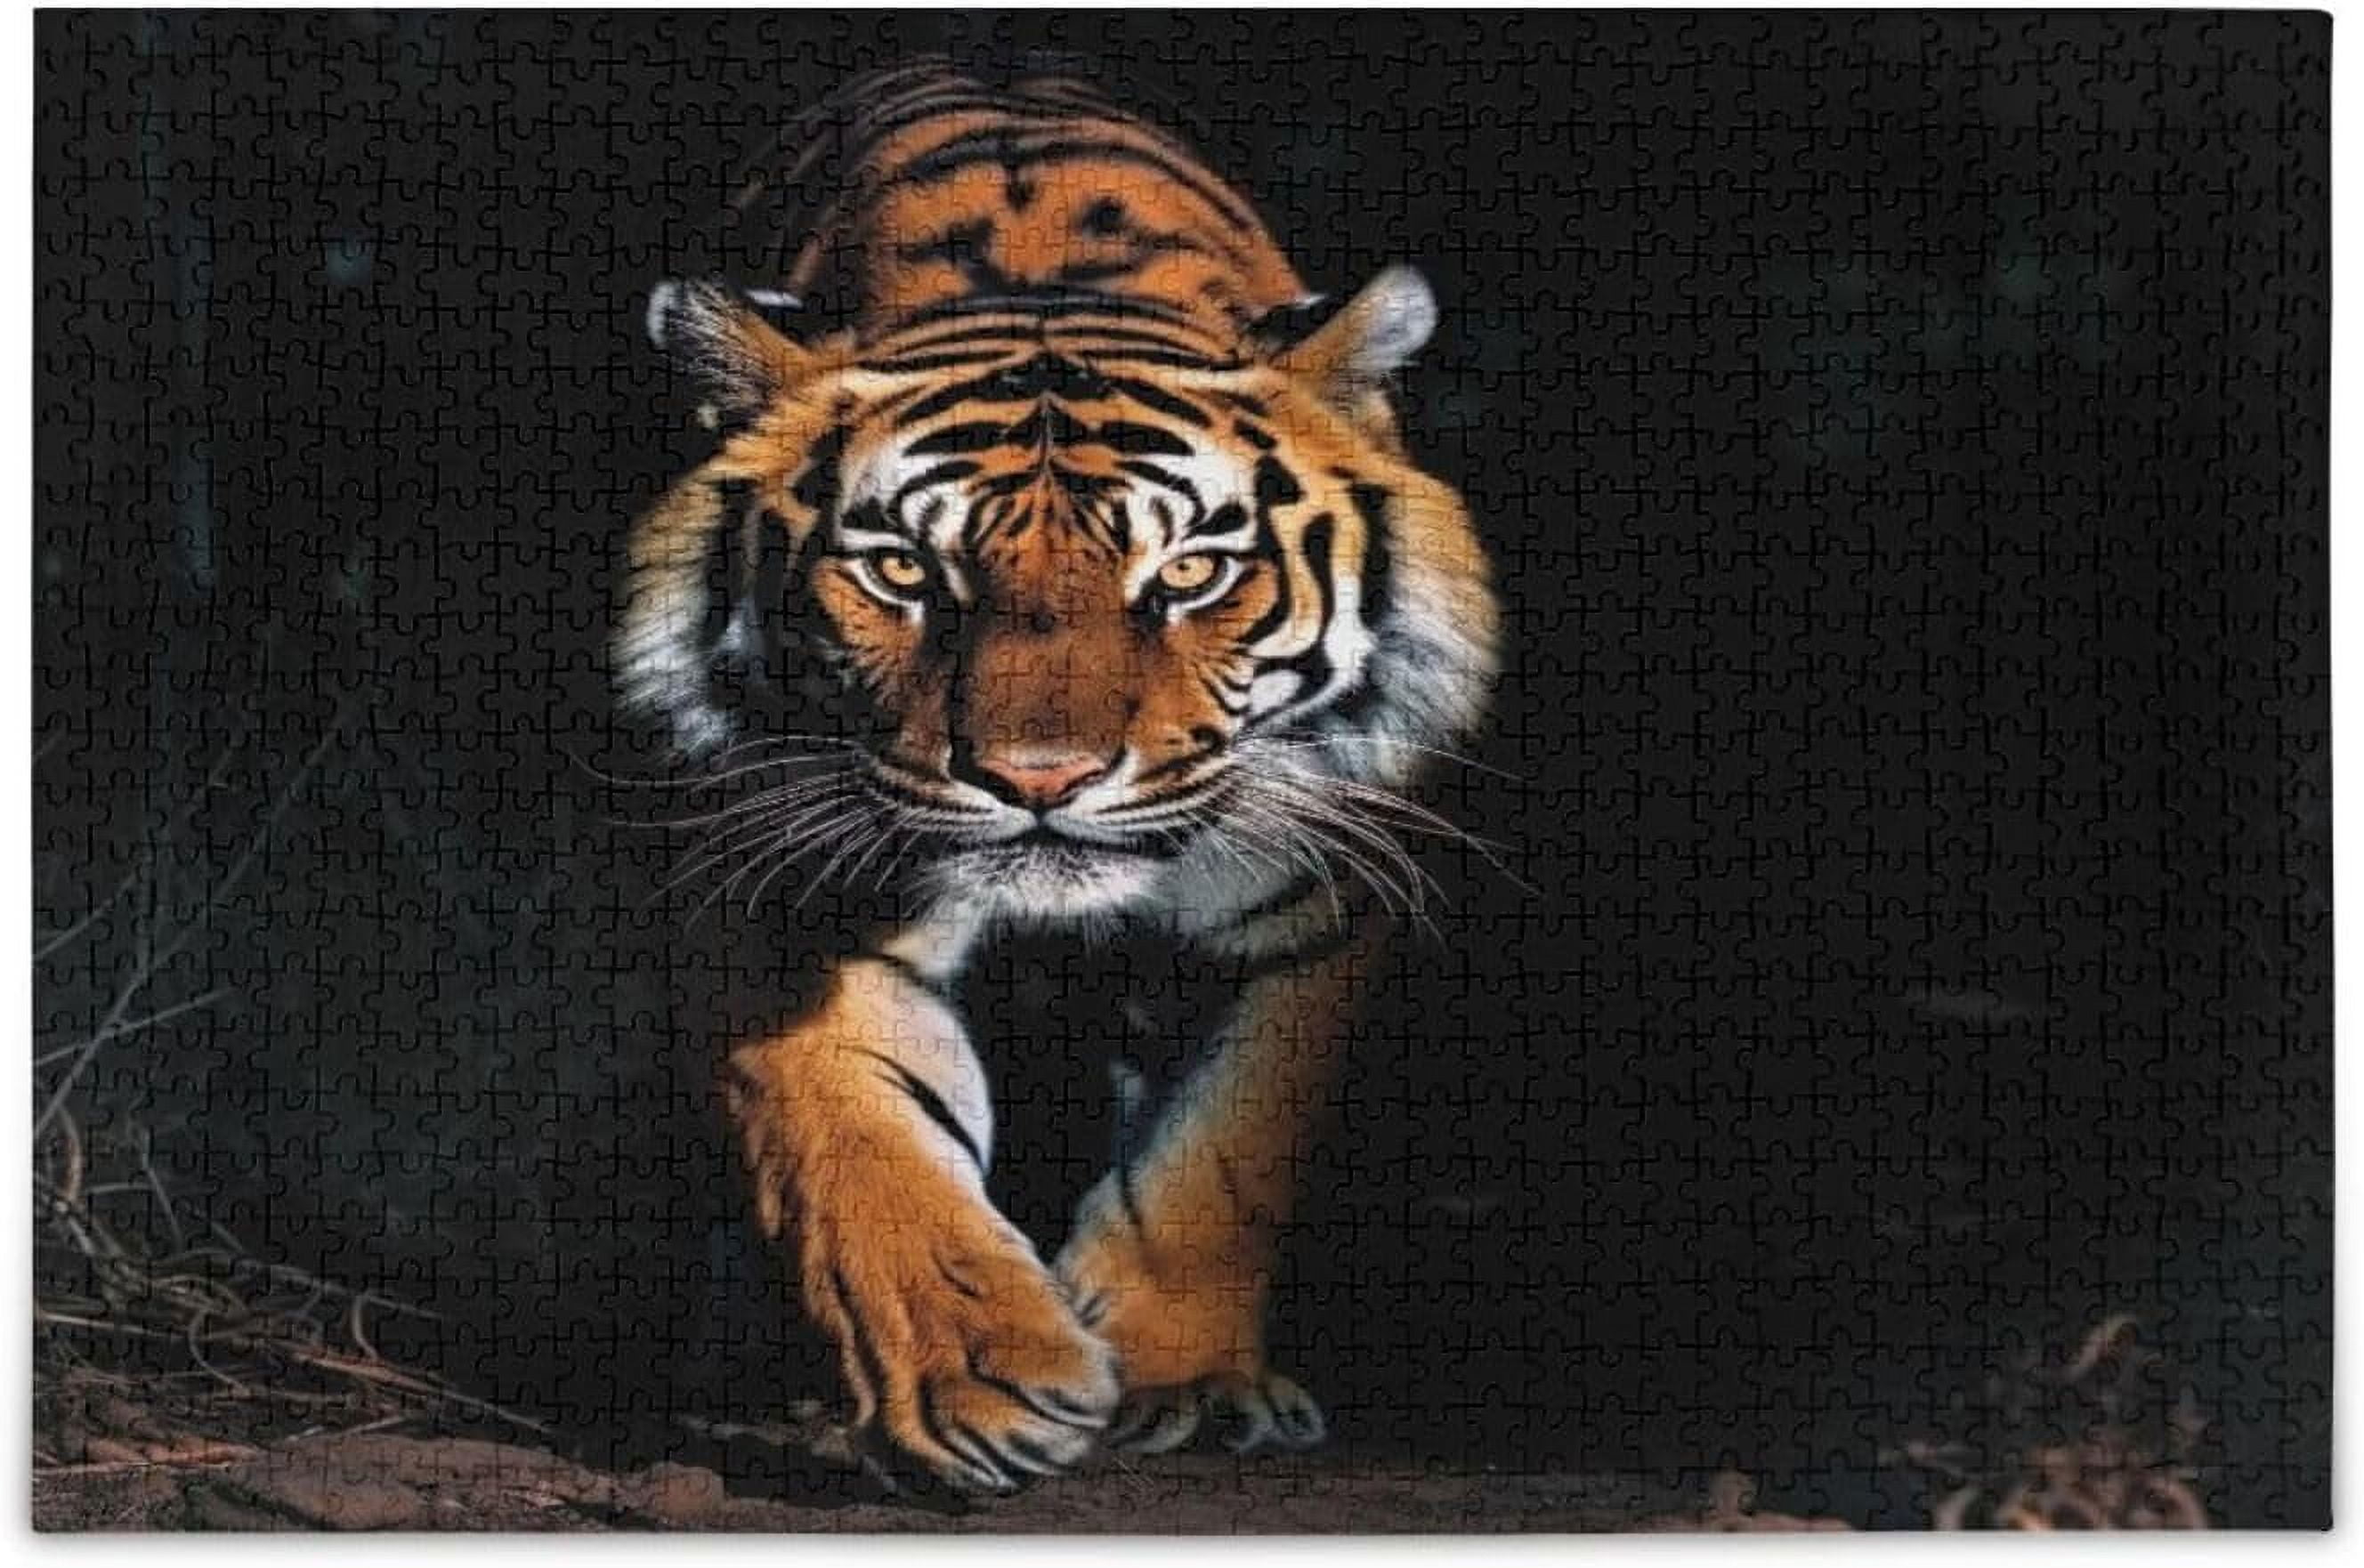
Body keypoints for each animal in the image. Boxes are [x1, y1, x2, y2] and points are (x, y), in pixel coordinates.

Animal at [617, 61, 1499, 1492]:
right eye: (904, 571)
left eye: (1190, 571)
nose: (1041, 777)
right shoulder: (773, 877)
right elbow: (848, 1135)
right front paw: (972, 1377)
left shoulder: (1314, 899)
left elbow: (1229, 1142)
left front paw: (1186, 1377)